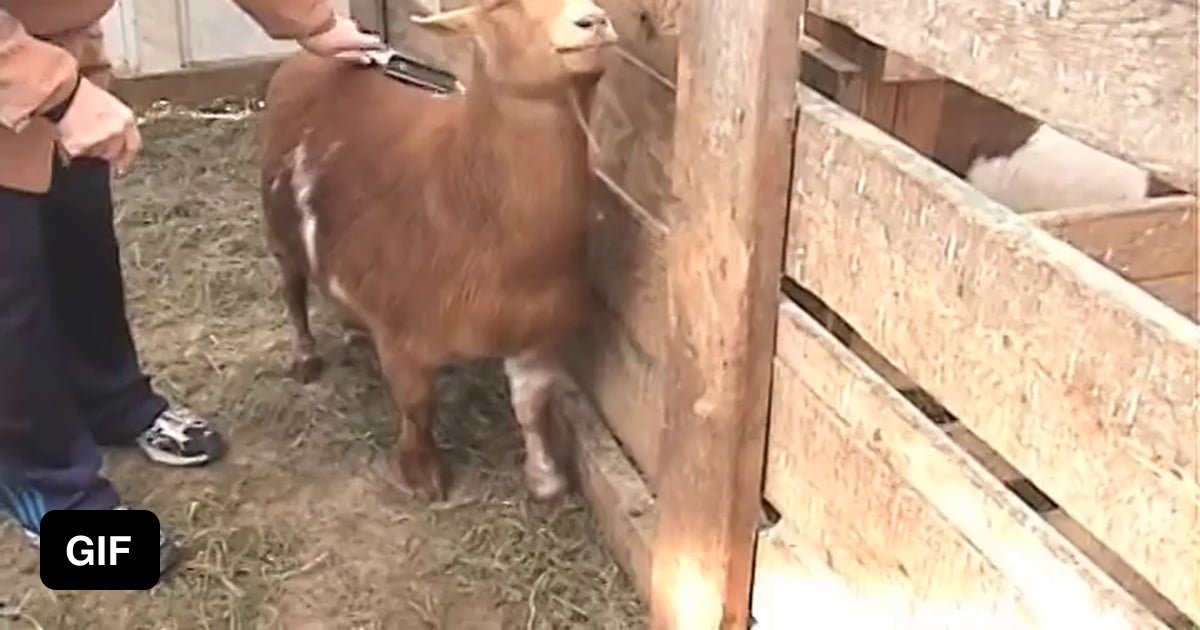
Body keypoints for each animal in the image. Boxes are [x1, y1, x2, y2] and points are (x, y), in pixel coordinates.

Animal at [256, 0, 618, 502]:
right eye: (503, 8)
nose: (593, 20)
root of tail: (303, 60)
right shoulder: (403, 335)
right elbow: (417, 405)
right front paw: (422, 474)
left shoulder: (538, 334)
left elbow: (532, 405)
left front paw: (545, 478)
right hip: (279, 228)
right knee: (292, 291)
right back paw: (305, 356)